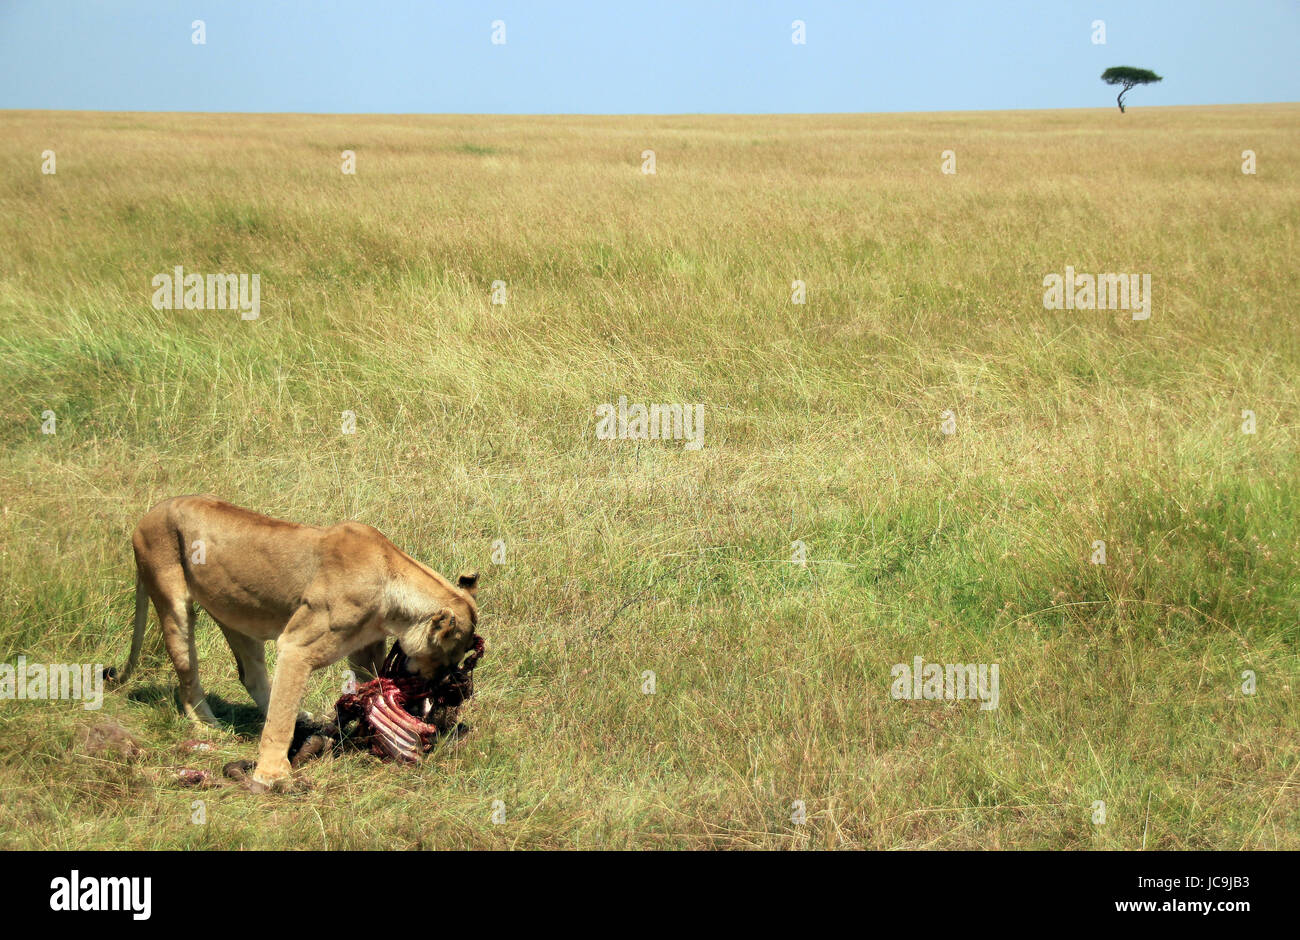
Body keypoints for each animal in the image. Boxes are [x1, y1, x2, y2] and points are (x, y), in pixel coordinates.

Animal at [109, 495, 480, 790]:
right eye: (447, 660)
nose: (447, 685)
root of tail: (150, 512)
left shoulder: (364, 647)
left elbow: (366, 686)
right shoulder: (297, 645)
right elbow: (281, 715)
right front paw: (272, 775)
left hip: (239, 612)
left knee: (252, 676)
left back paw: (304, 717)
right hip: (172, 601)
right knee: (188, 674)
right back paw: (207, 724)